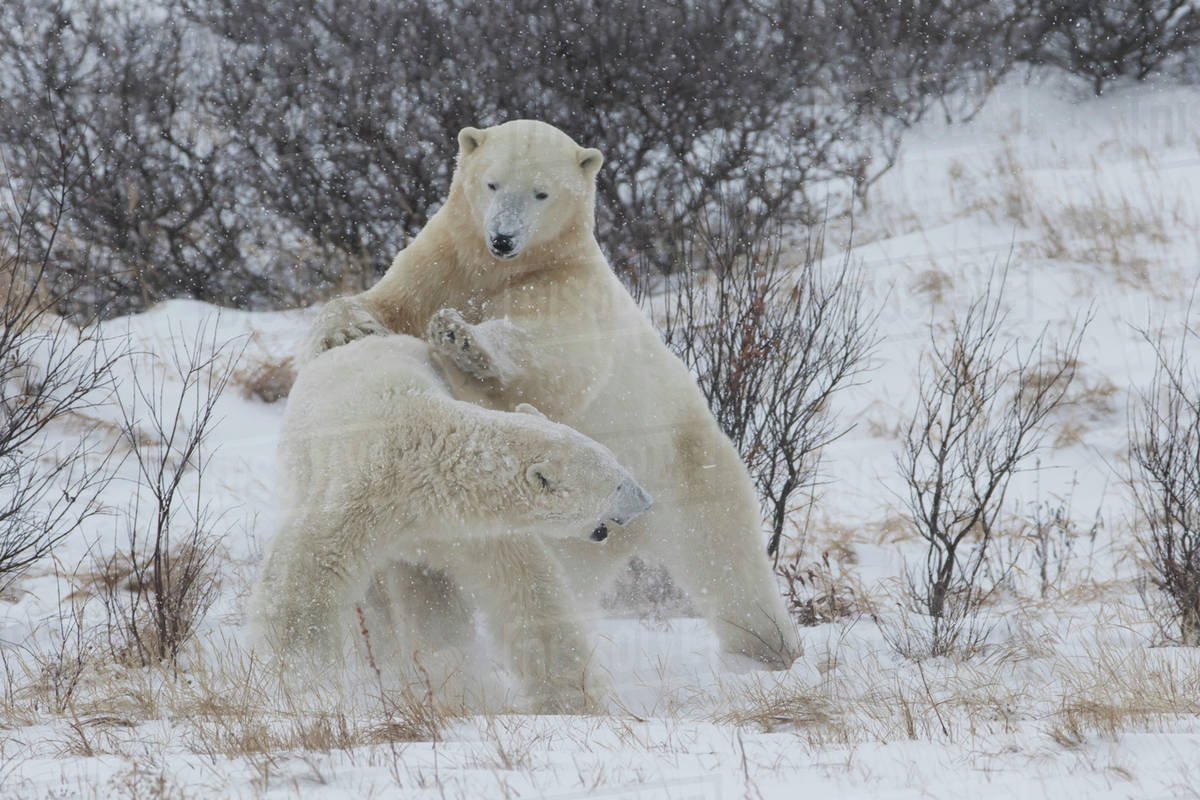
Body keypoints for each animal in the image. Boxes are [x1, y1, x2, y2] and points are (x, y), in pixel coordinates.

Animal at [251, 333, 652, 712]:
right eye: (617, 481)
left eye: (617, 463)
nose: (645, 501)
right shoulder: (362, 493)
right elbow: (307, 574)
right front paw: (303, 685)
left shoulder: (462, 525)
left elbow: (524, 586)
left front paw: (573, 699)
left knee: (431, 600)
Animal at [304, 119, 800, 671]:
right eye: (492, 183)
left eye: (541, 193)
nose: (503, 238)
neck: (499, 269)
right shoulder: (440, 261)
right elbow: (385, 302)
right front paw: (345, 328)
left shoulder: (567, 284)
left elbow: (554, 357)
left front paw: (463, 338)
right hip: (585, 529)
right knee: (572, 572)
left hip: (685, 470)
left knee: (728, 561)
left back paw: (770, 650)